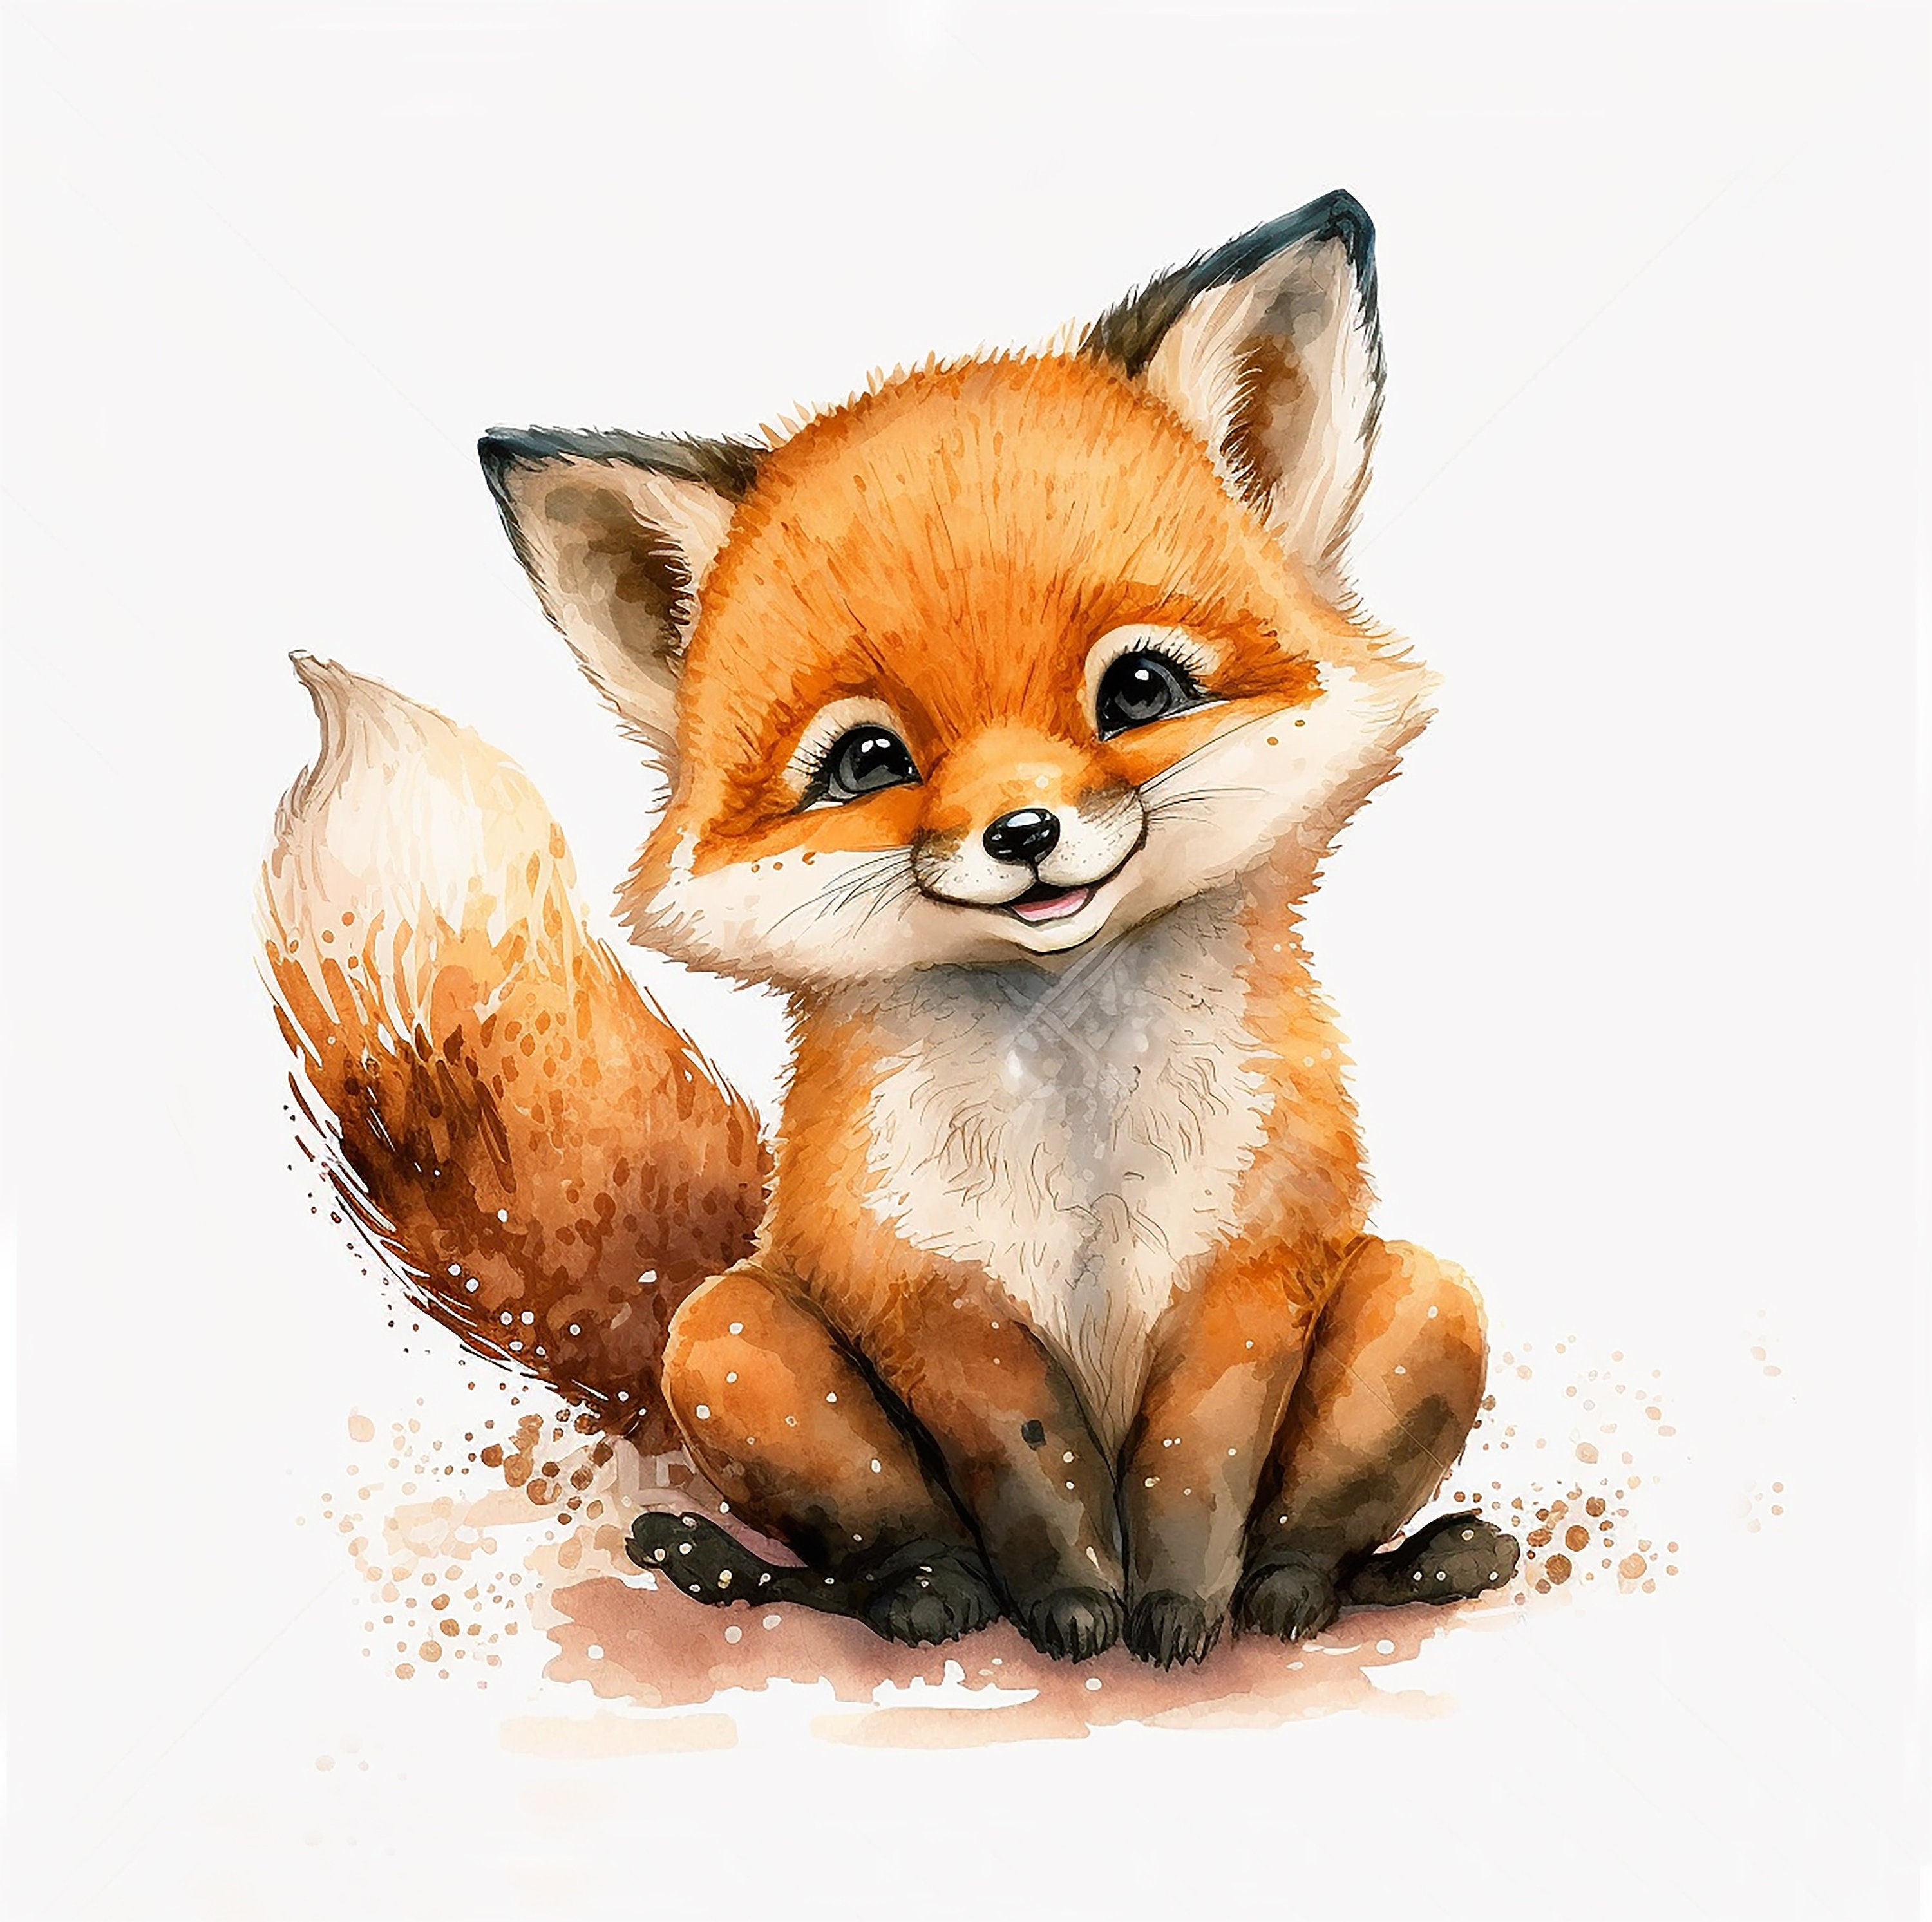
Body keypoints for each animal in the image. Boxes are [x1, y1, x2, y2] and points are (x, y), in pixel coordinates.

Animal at [261, 189, 1519, 1670]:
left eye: (1140, 690)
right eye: (869, 761)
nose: (1022, 832)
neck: (1079, 1142)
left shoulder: (1249, 1271)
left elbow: (1192, 1472)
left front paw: (1177, 1615)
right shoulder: (926, 1292)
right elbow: (1037, 1472)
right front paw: (1077, 1611)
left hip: (1423, 1305)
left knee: (1316, 1523)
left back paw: (1358, 1576)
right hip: (734, 1335)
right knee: (858, 1553)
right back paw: (850, 1584)